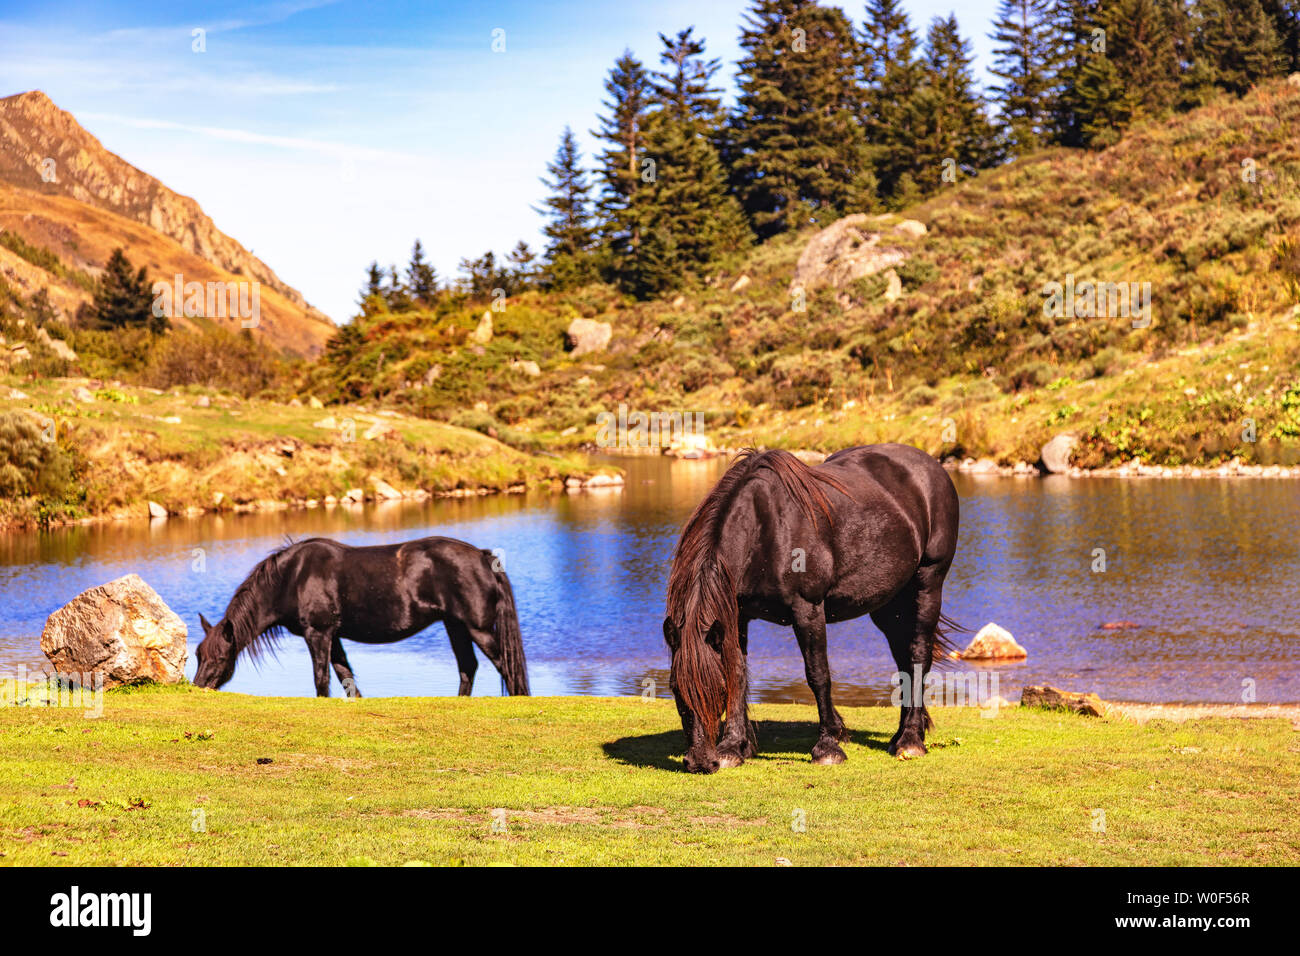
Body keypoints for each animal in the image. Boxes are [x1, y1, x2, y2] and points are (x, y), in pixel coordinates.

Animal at [193, 535, 530, 697]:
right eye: (198, 656)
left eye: (220, 658)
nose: (197, 688)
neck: (293, 577)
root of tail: (483, 557)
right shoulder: (334, 637)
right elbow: (346, 678)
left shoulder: (318, 634)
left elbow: (322, 679)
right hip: (455, 626)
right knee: (467, 668)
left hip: (477, 629)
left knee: (507, 668)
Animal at [663, 444, 960, 773]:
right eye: (675, 689)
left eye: (715, 691)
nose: (700, 762)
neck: (764, 529)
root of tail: (931, 467)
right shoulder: (737, 616)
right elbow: (737, 672)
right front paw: (732, 747)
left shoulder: (808, 610)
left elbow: (818, 674)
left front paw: (828, 747)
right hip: (889, 604)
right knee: (903, 657)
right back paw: (902, 735)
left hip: (927, 584)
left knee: (918, 654)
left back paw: (910, 741)